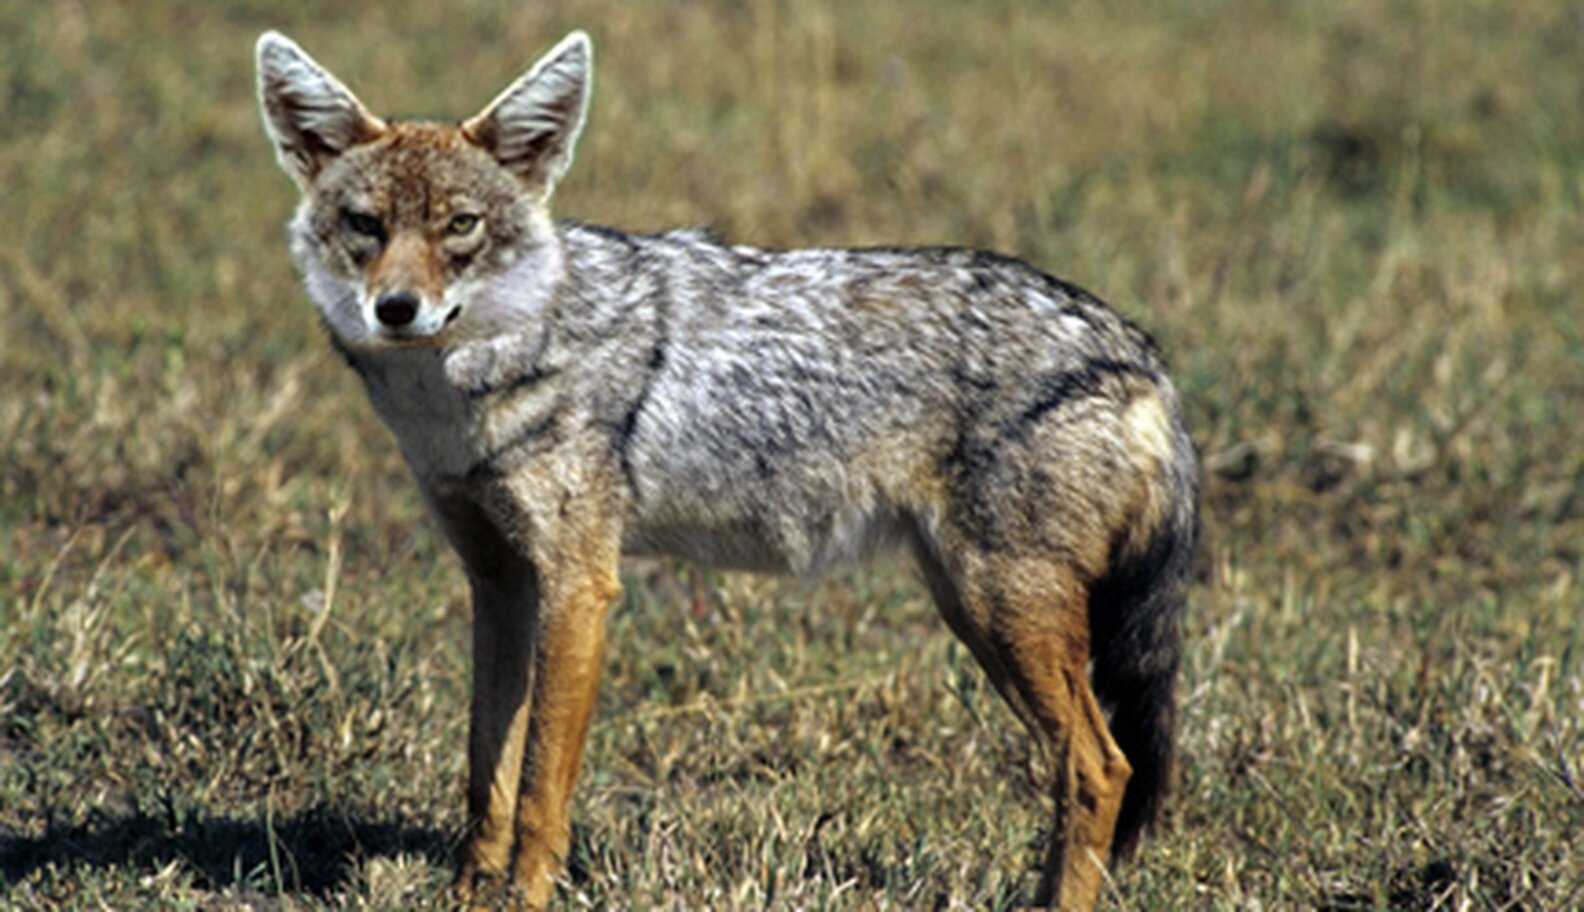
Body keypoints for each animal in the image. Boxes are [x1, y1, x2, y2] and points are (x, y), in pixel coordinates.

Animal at [256, 27, 1198, 911]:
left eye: (460, 226)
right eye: (366, 226)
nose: (397, 309)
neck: (467, 390)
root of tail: (1140, 352)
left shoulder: (579, 586)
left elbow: (538, 790)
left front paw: (523, 898)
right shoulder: (501, 583)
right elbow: (486, 778)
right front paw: (465, 896)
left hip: (999, 613)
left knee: (1102, 766)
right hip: (977, 614)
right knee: (1096, 766)